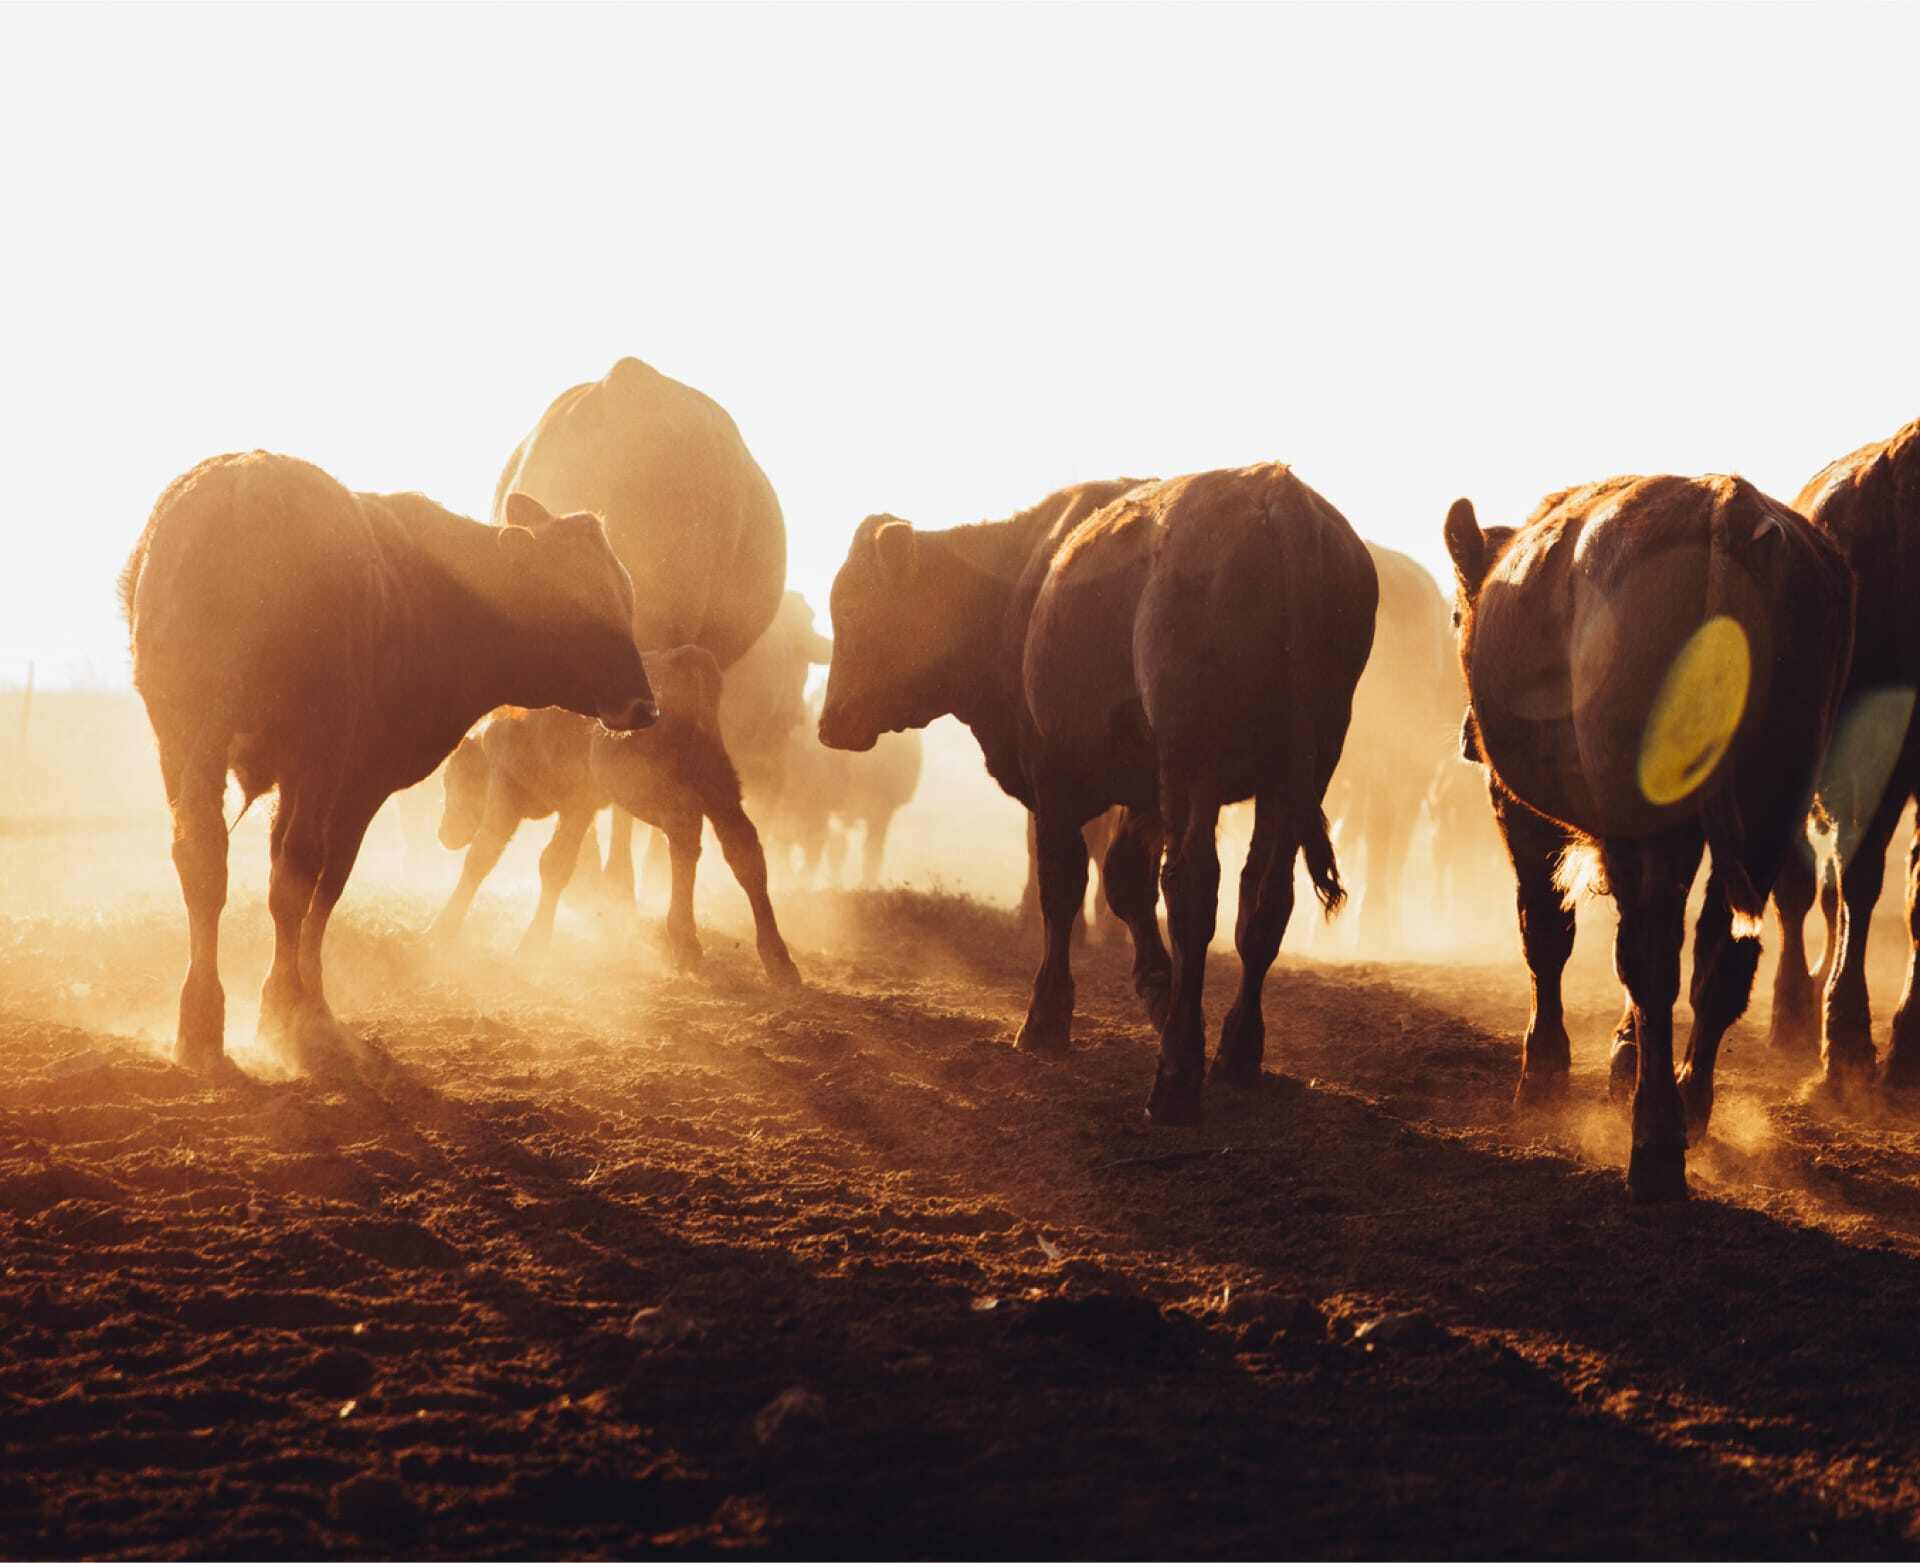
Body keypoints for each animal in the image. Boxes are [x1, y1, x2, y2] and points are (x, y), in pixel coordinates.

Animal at [120, 453, 656, 1073]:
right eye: (583, 602)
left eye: (627, 597)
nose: (645, 706)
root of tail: (247, 488)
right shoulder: (355, 778)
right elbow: (325, 881)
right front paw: (303, 1003)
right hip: (305, 746)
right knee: (292, 873)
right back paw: (272, 1012)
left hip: (181, 737)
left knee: (203, 857)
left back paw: (201, 1024)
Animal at [430, 649, 798, 984]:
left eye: (452, 778)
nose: (444, 836)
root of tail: (683, 659)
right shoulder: (579, 806)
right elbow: (558, 863)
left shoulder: (508, 788)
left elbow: (485, 855)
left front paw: (448, 928)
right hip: (717, 783)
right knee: (742, 848)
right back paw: (778, 959)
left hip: (648, 788)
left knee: (685, 833)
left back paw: (685, 941)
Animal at [820, 465, 1377, 1124]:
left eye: (855, 606)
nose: (829, 723)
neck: (1020, 582)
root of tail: (1275, 493)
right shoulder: (1145, 796)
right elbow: (1124, 881)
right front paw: (1157, 988)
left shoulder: (1058, 781)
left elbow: (1062, 889)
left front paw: (1046, 1019)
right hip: (1296, 779)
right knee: (1263, 901)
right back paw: (1236, 1052)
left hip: (1193, 764)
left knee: (1193, 889)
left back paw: (1175, 1078)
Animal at [1445, 473, 1854, 1201]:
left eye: (1457, 616)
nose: (1467, 738)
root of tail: (1727, 505)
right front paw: (1619, 1056)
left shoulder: (1520, 814)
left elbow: (1546, 934)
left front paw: (1543, 1073)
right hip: (1768, 809)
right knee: (1718, 959)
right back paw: (1690, 1104)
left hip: (1656, 822)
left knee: (1652, 957)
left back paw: (1655, 1145)